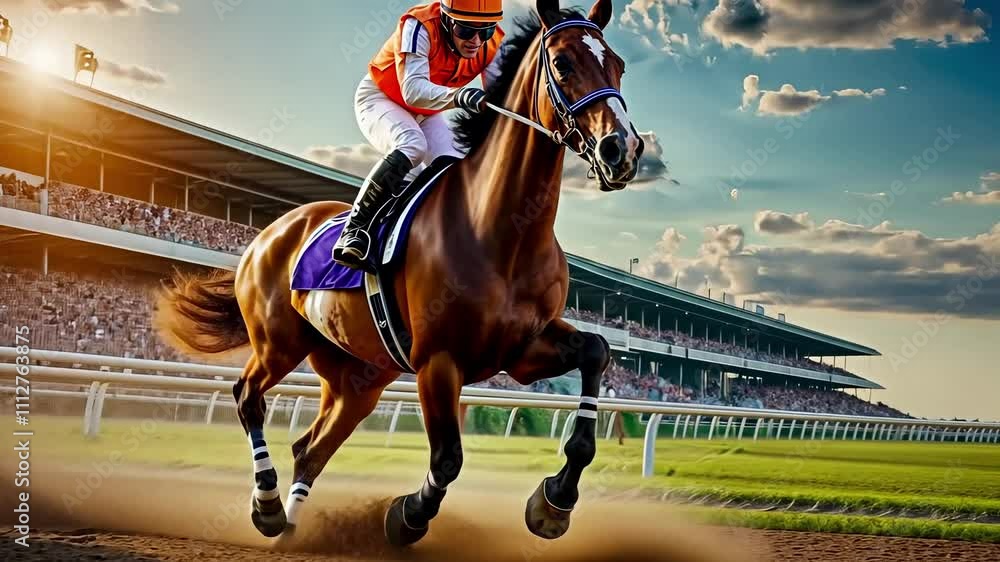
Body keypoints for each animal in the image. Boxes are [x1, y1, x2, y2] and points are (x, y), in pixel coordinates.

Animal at [154, 0, 643, 547]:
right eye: (561, 63)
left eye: (618, 65)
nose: (622, 149)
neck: (502, 228)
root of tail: (269, 232)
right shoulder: (439, 359)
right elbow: (447, 458)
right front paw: (407, 515)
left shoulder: (520, 349)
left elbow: (596, 351)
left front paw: (554, 500)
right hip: (278, 342)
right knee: (248, 398)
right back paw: (268, 507)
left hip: (358, 376)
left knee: (311, 448)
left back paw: (294, 529)